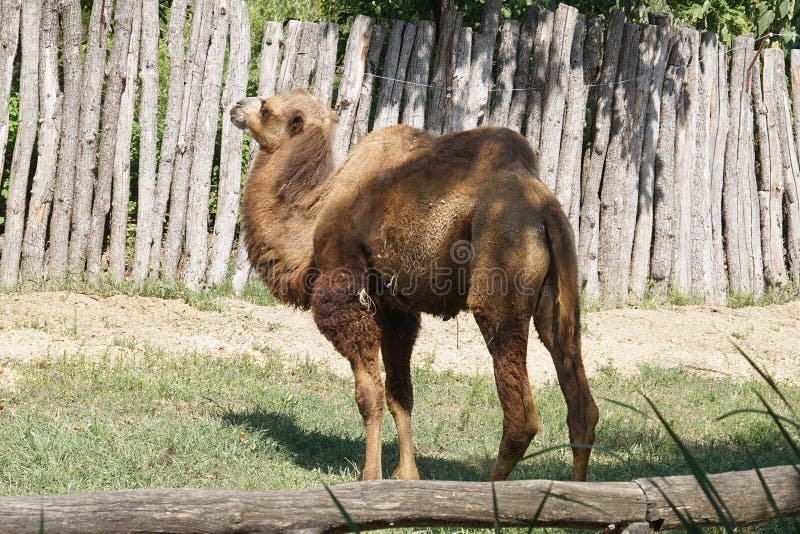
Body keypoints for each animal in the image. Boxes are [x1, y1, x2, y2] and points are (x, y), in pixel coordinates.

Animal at [229, 88, 599, 482]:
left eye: (266, 108)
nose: (236, 106)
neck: (312, 221)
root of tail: (546, 209)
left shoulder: (346, 297)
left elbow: (369, 394)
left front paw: (370, 474)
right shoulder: (396, 308)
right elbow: (400, 393)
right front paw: (406, 474)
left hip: (500, 278)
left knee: (521, 417)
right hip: (556, 297)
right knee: (581, 403)